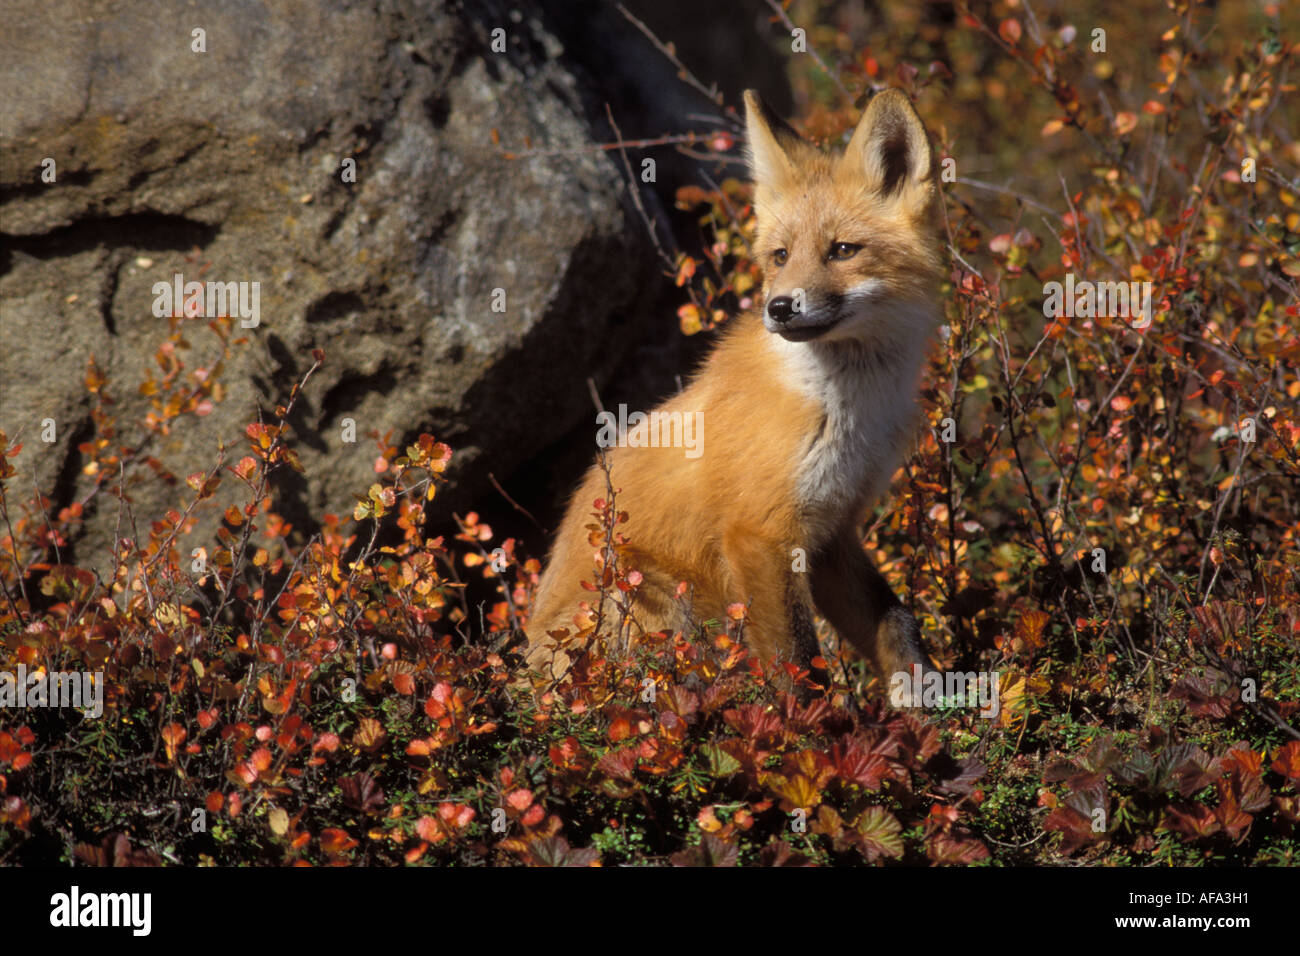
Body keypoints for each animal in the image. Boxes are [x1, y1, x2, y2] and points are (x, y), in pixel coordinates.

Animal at [525, 88, 944, 701]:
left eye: (843, 250)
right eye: (780, 256)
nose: (780, 307)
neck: (846, 410)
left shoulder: (832, 532)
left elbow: (896, 620)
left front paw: (926, 700)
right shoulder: (759, 535)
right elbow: (799, 665)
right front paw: (819, 726)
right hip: (651, 595)